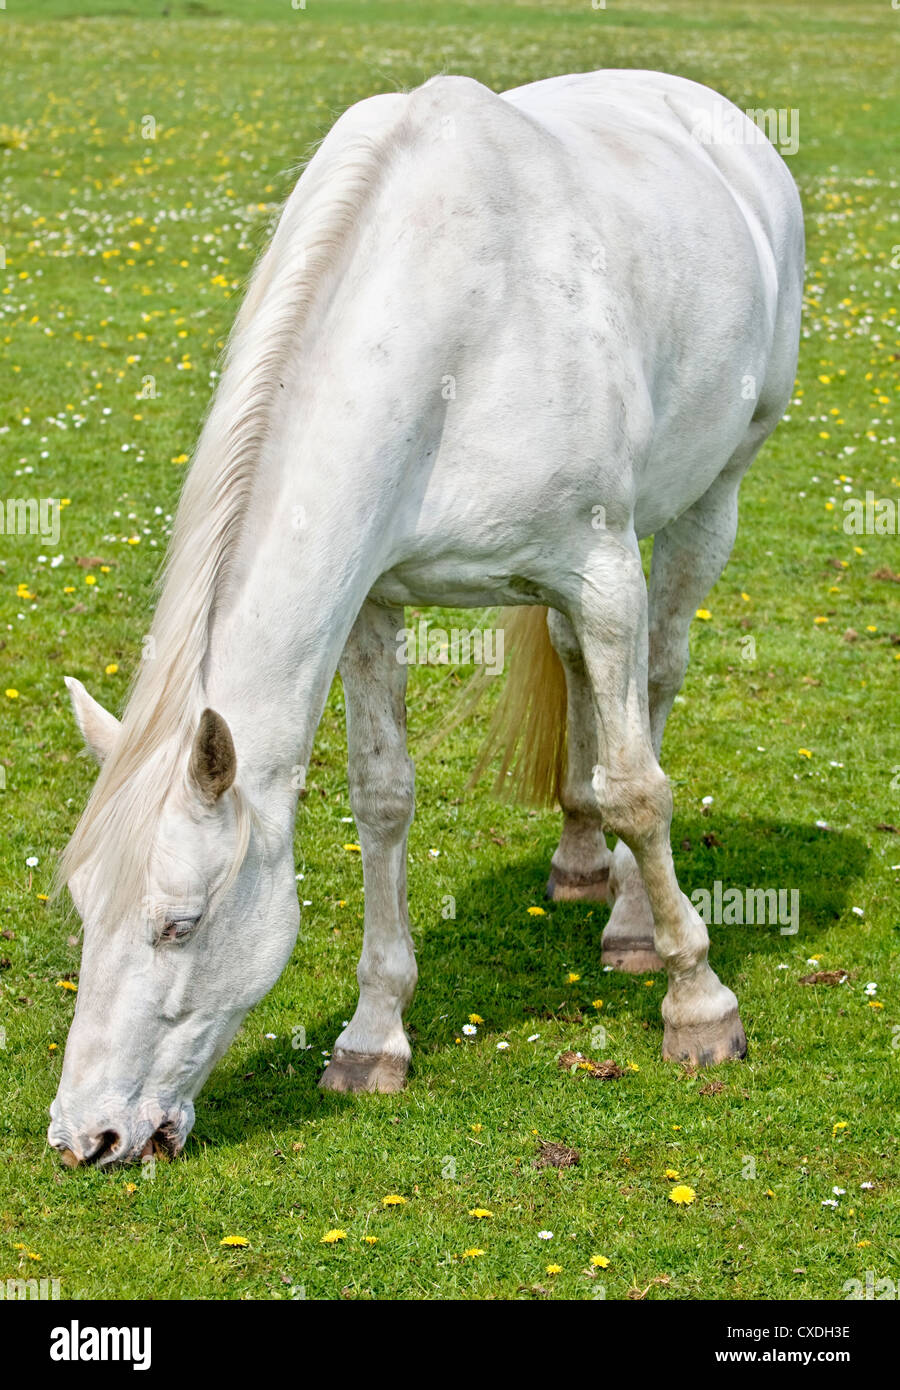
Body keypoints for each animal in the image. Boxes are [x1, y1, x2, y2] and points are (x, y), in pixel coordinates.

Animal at [49, 70, 803, 1166]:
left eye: (179, 925)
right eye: (82, 909)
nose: (86, 1136)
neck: (456, 333)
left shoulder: (606, 572)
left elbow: (640, 789)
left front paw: (699, 1005)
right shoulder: (375, 599)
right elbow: (382, 798)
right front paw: (372, 1039)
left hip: (713, 496)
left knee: (655, 682)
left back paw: (631, 919)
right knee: (578, 674)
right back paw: (580, 862)